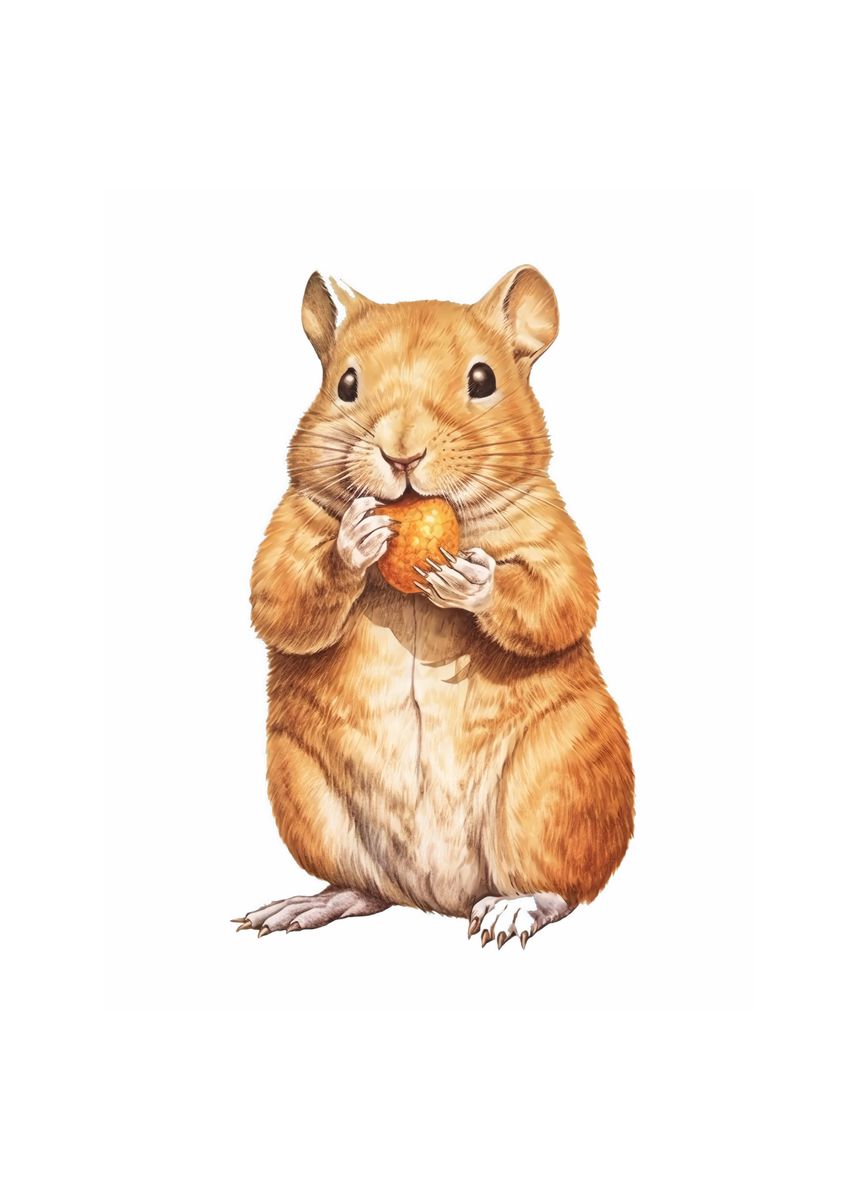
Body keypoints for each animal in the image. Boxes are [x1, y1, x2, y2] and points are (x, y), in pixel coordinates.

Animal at [237, 267, 634, 948]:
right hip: (306, 796)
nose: (402, 455)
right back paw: (304, 906)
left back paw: (508, 912)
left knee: (558, 890)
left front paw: (470, 579)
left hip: (549, 785)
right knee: (365, 889)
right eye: (346, 384)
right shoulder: (288, 525)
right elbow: (280, 597)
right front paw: (356, 539)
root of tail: (434, 897)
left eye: (483, 380)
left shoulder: (554, 531)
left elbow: (561, 600)